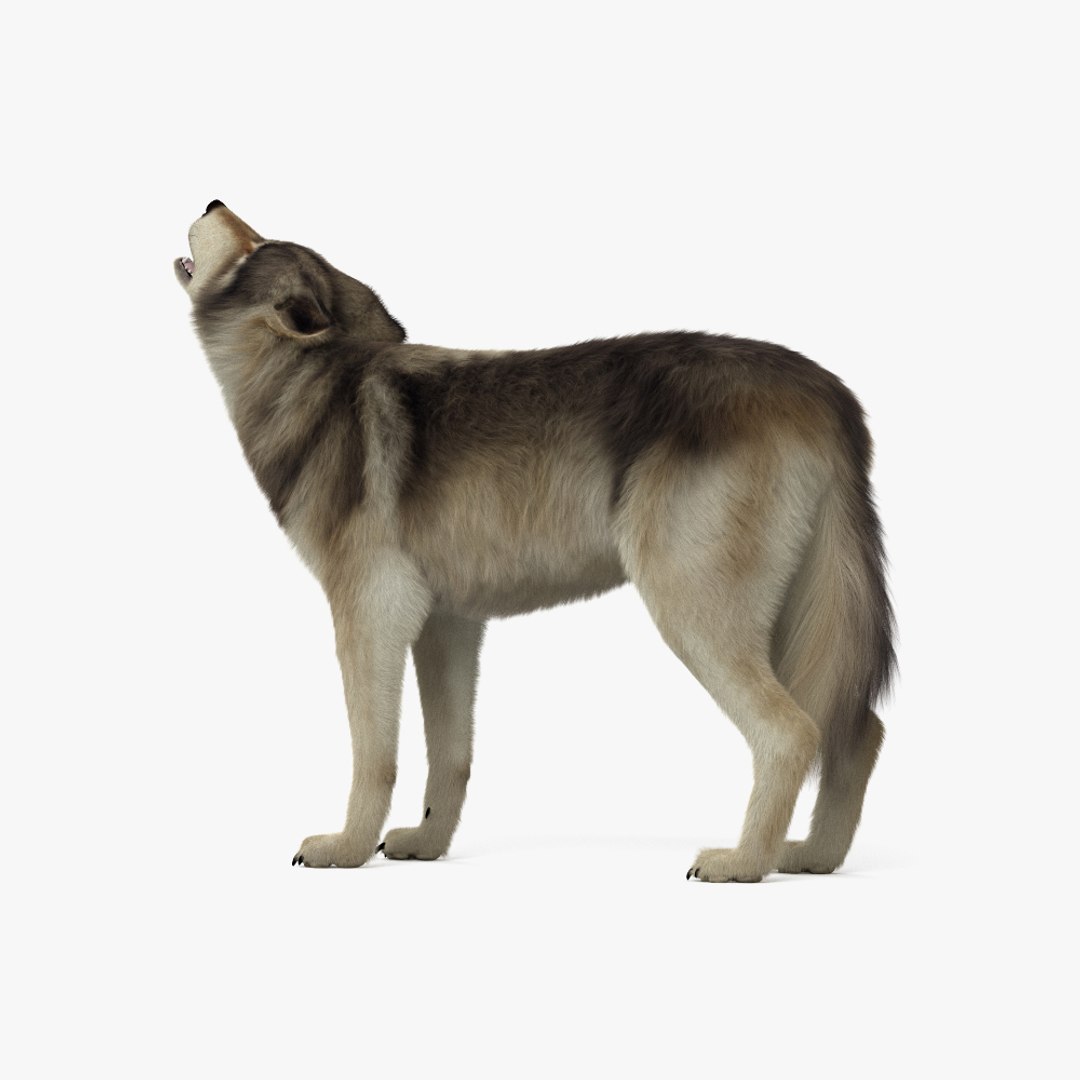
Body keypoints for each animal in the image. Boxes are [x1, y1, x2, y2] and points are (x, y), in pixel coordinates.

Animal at [175, 200, 895, 882]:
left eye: (254, 247)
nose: (213, 201)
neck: (320, 385)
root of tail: (826, 390)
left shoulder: (370, 615)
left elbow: (374, 755)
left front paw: (346, 849)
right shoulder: (447, 624)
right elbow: (451, 756)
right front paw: (426, 845)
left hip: (695, 612)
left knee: (793, 731)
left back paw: (744, 862)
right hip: (796, 623)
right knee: (860, 730)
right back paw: (813, 857)